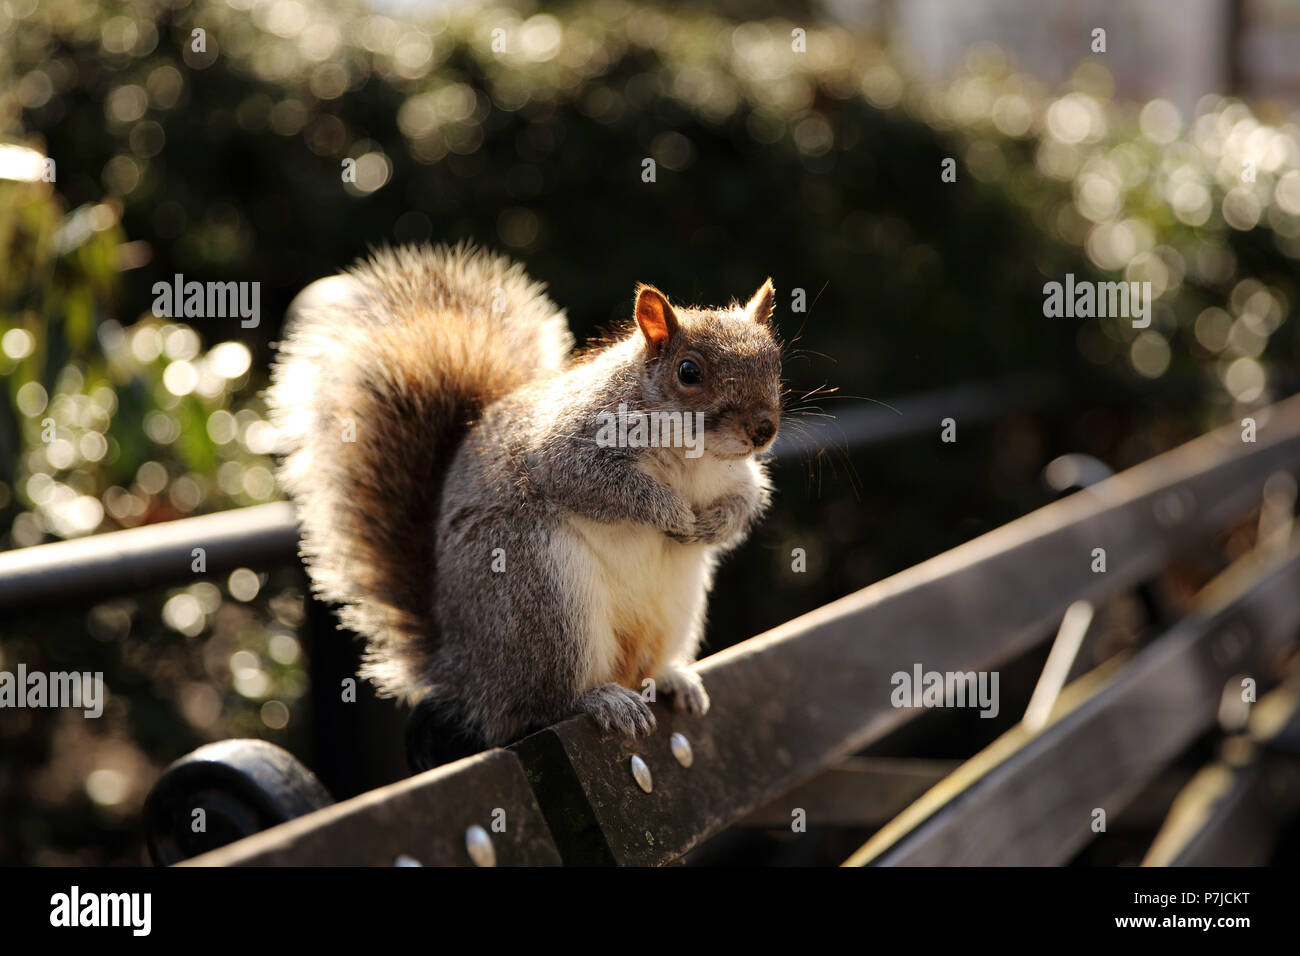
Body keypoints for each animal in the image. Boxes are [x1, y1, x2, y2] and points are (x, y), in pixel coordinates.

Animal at [267, 243, 782, 765]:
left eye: (775, 363)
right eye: (688, 372)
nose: (764, 430)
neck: (690, 455)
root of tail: (465, 673)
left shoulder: (735, 474)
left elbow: (746, 499)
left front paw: (713, 526)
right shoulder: (573, 447)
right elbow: (598, 484)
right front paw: (672, 512)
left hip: (675, 605)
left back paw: (673, 680)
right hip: (538, 594)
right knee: (542, 704)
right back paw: (603, 699)